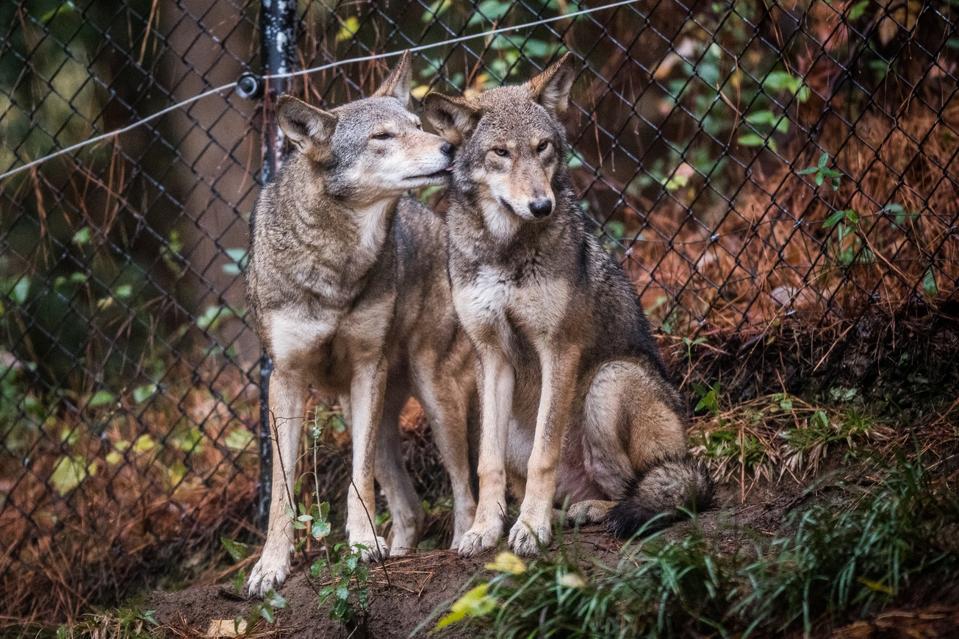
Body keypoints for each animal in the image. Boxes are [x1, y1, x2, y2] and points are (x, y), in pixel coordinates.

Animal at [245, 52, 477, 596]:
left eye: (416, 124)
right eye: (382, 137)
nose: (449, 146)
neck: (339, 261)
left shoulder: (367, 369)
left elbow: (357, 478)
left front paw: (362, 546)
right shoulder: (286, 380)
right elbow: (282, 492)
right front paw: (270, 566)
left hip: (435, 396)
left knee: (464, 486)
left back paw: (464, 542)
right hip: (367, 411)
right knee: (411, 509)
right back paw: (402, 550)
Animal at [423, 53, 713, 557]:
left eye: (542, 147)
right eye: (500, 153)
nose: (542, 205)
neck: (506, 250)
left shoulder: (558, 348)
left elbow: (546, 452)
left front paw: (532, 529)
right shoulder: (491, 355)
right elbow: (487, 465)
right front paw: (484, 529)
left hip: (610, 382)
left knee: (635, 487)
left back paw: (587, 511)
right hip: (493, 414)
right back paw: (554, 514)